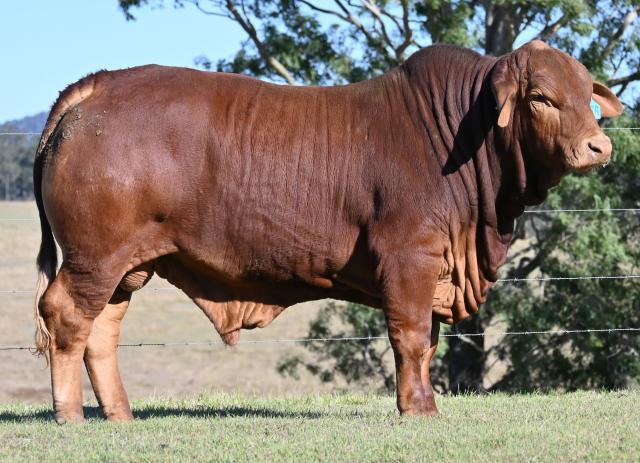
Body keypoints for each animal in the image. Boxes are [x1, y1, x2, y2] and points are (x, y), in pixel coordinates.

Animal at [33, 40, 622, 423]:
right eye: (541, 97)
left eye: (587, 95)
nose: (599, 146)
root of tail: (101, 83)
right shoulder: (410, 258)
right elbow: (411, 338)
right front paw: (416, 410)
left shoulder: (434, 270)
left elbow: (428, 344)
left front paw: (427, 403)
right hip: (94, 258)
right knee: (65, 316)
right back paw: (69, 414)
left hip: (127, 266)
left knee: (101, 330)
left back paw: (120, 413)